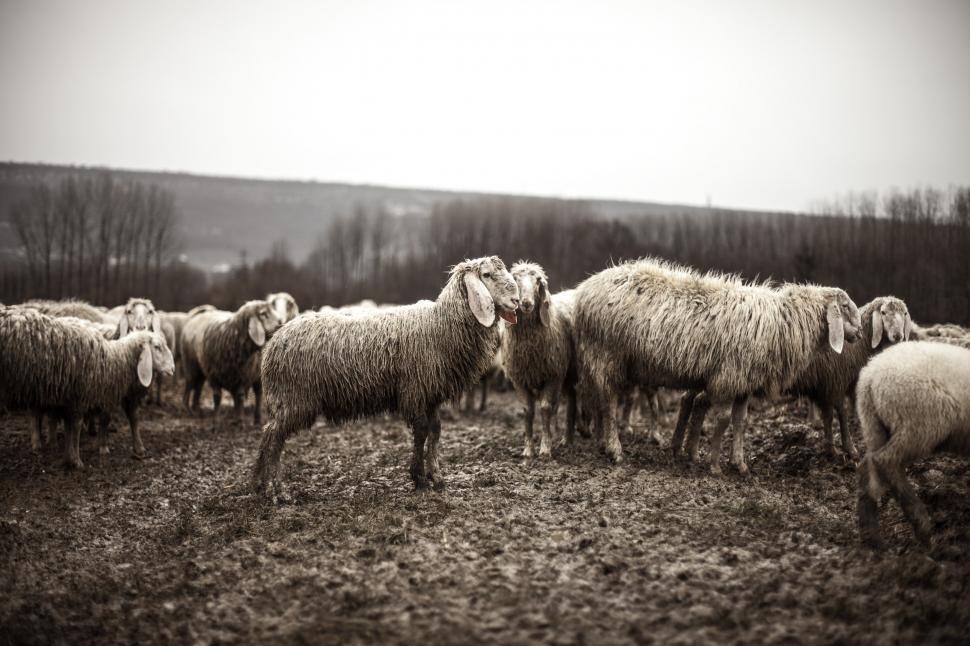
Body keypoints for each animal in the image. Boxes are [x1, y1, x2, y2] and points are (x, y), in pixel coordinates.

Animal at [0, 307, 174, 468]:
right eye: (157, 347)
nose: (172, 369)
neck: (115, 360)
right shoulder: (84, 395)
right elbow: (80, 425)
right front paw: (78, 459)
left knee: (47, 415)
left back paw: (50, 442)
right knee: (36, 414)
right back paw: (39, 444)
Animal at [252, 256, 521, 495]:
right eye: (487, 275)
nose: (516, 300)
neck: (440, 326)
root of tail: (274, 341)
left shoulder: (431, 394)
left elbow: (435, 431)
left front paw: (436, 477)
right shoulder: (415, 390)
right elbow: (421, 431)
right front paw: (419, 479)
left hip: (288, 399)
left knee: (267, 435)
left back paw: (259, 484)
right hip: (294, 398)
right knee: (273, 438)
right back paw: (276, 490)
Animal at [501, 263, 577, 459]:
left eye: (537, 281)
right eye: (515, 280)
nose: (526, 303)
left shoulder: (553, 376)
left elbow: (544, 408)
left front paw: (545, 448)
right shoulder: (519, 379)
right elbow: (528, 411)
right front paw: (528, 450)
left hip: (569, 372)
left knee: (571, 401)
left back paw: (567, 439)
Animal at [574, 258, 861, 475]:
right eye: (845, 307)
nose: (859, 333)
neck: (785, 321)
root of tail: (584, 290)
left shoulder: (745, 383)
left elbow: (741, 422)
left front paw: (739, 464)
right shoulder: (728, 378)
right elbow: (722, 420)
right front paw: (714, 465)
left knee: (600, 401)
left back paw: (603, 444)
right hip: (606, 354)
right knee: (609, 404)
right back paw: (615, 450)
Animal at [856, 341, 970, 547]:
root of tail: (870, 373)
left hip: (873, 425)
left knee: (867, 467)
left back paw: (872, 538)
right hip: (919, 424)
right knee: (886, 461)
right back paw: (923, 528)